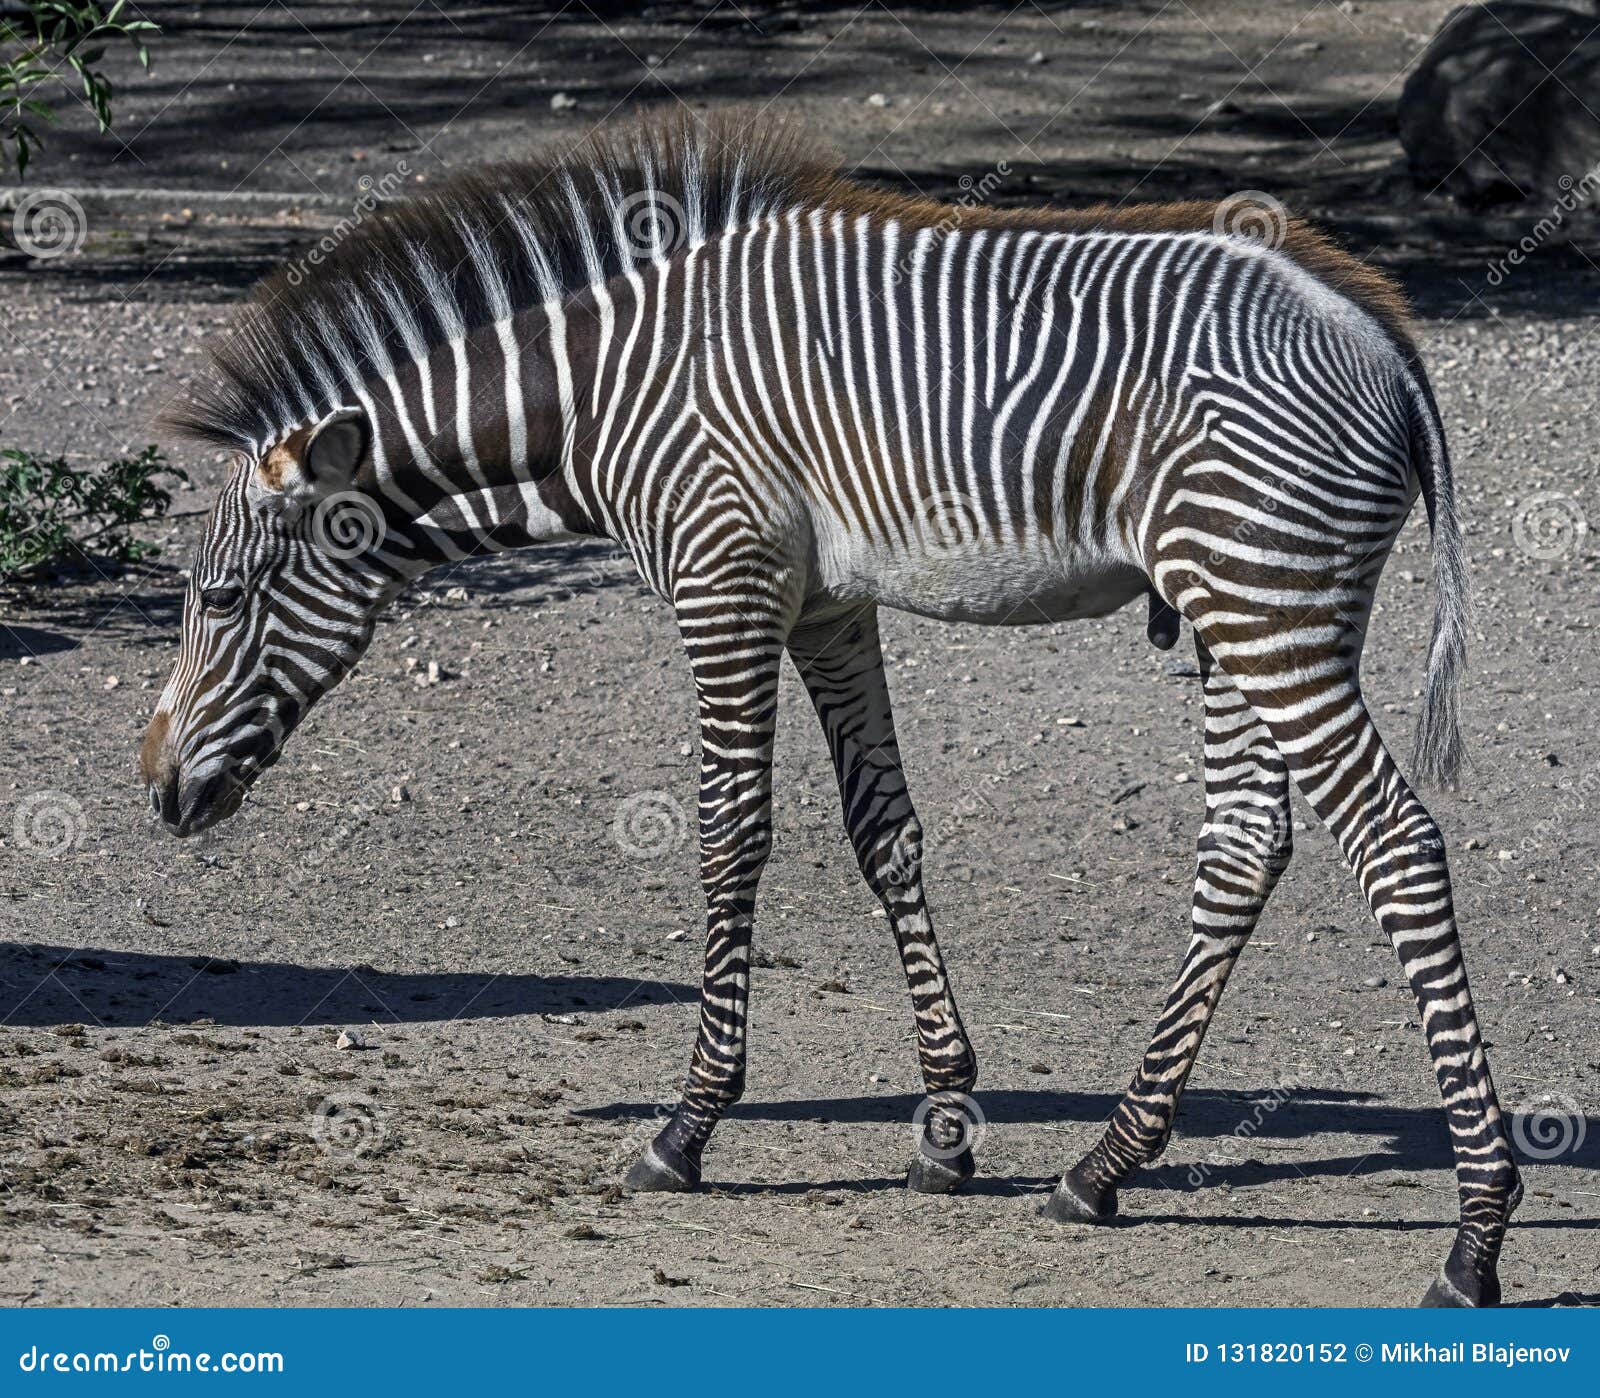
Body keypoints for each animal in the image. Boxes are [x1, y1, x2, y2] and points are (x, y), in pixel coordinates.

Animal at [140, 112, 1521, 1307]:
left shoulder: (723, 579)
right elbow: (882, 831)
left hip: (1260, 599)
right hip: (1237, 606)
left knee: (1396, 845)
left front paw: (687, 1129)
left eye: (218, 595)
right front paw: (947, 1130)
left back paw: (1474, 1237)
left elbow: (729, 835)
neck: (597, 396)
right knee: (1242, 848)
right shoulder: (825, 606)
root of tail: (1377, 329)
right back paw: (1102, 1167)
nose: (155, 787)